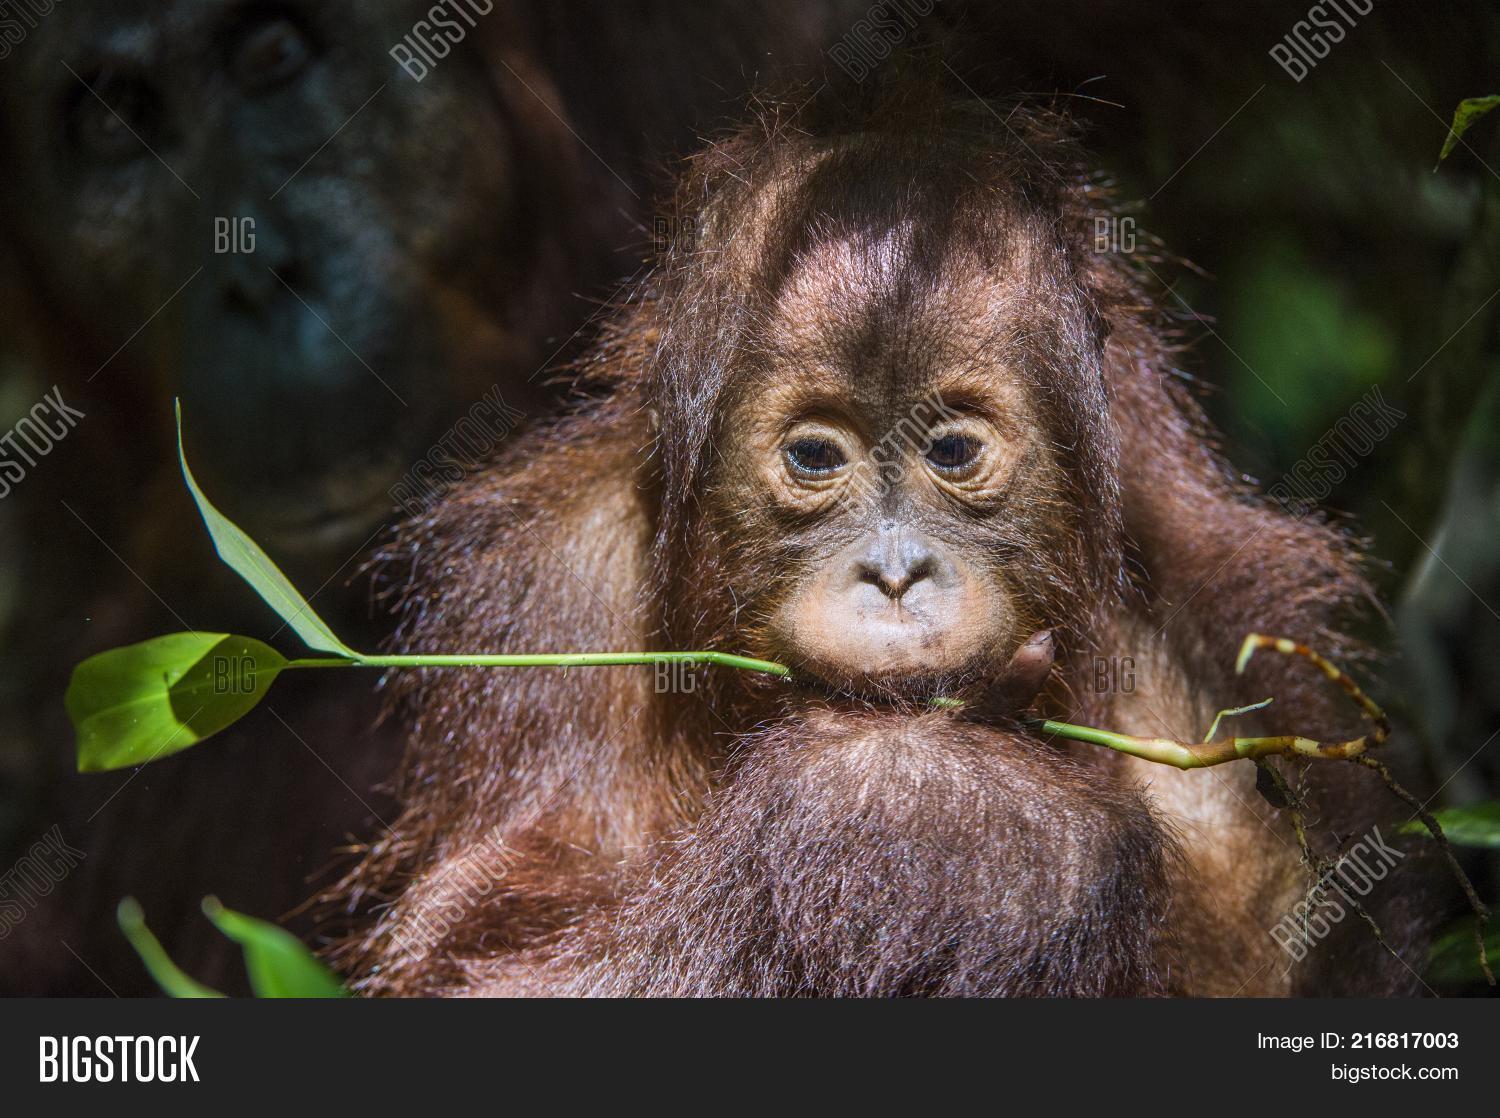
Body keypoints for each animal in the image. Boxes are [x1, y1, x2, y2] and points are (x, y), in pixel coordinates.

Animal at [331, 81, 1441, 997]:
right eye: (816, 456)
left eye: (951, 448)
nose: (898, 572)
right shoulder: (548, 594)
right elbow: (485, 950)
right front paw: (925, 807)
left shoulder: (1205, 619)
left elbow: (1293, 947)